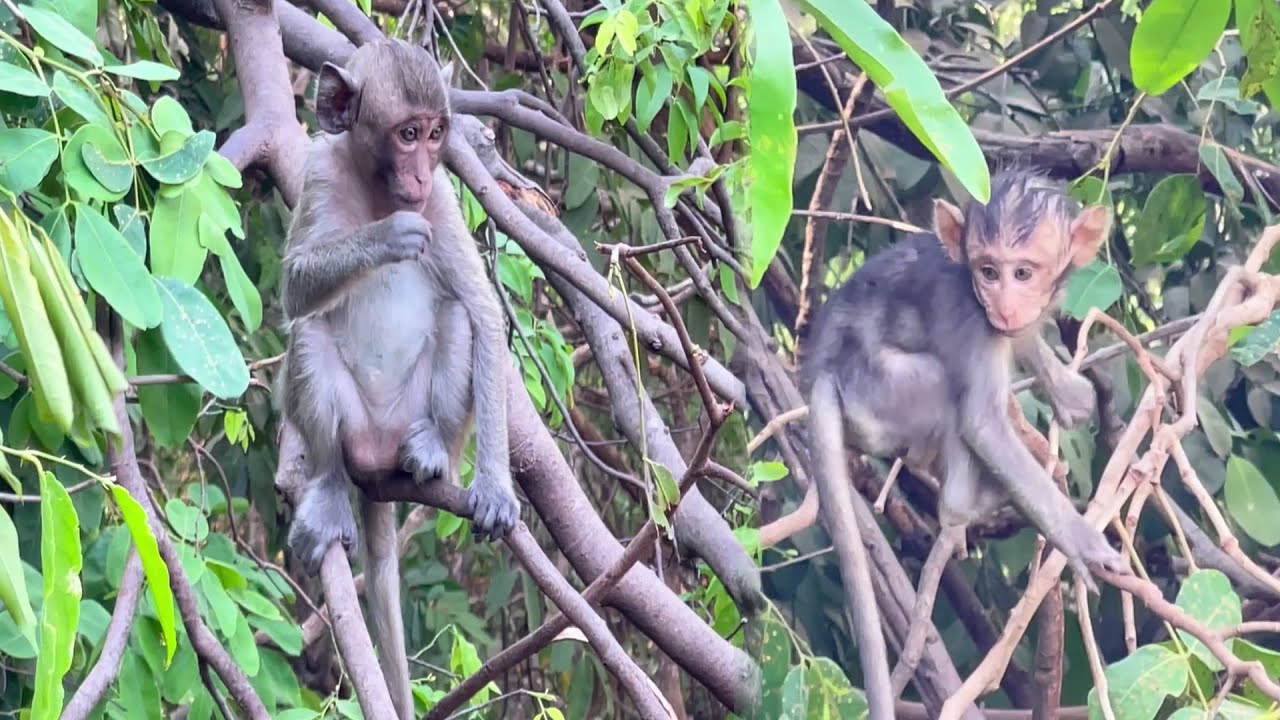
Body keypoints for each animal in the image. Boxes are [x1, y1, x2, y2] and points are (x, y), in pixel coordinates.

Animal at [278, 39, 520, 720]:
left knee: (457, 316)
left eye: (437, 135)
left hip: (412, 417)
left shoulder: (441, 199)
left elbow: (483, 312)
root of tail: (378, 454)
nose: (416, 173)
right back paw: (330, 485)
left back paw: (433, 451)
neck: (376, 189)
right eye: (406, 134)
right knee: (309, 332)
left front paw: (496, 487)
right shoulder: (320, 172)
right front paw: (385, 237)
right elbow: (295, 289)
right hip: (355, 427)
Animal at [799, 169, 1131, 716]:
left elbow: (1024, 343)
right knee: (943, 390)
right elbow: (981, 425)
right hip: (882, 391)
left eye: (1024, 274)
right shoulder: (971, 319)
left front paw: (1069, 393)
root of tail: (821, 373)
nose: (1003, 303)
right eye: (988, 271)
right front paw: (1082, 543)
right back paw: (962, 508)